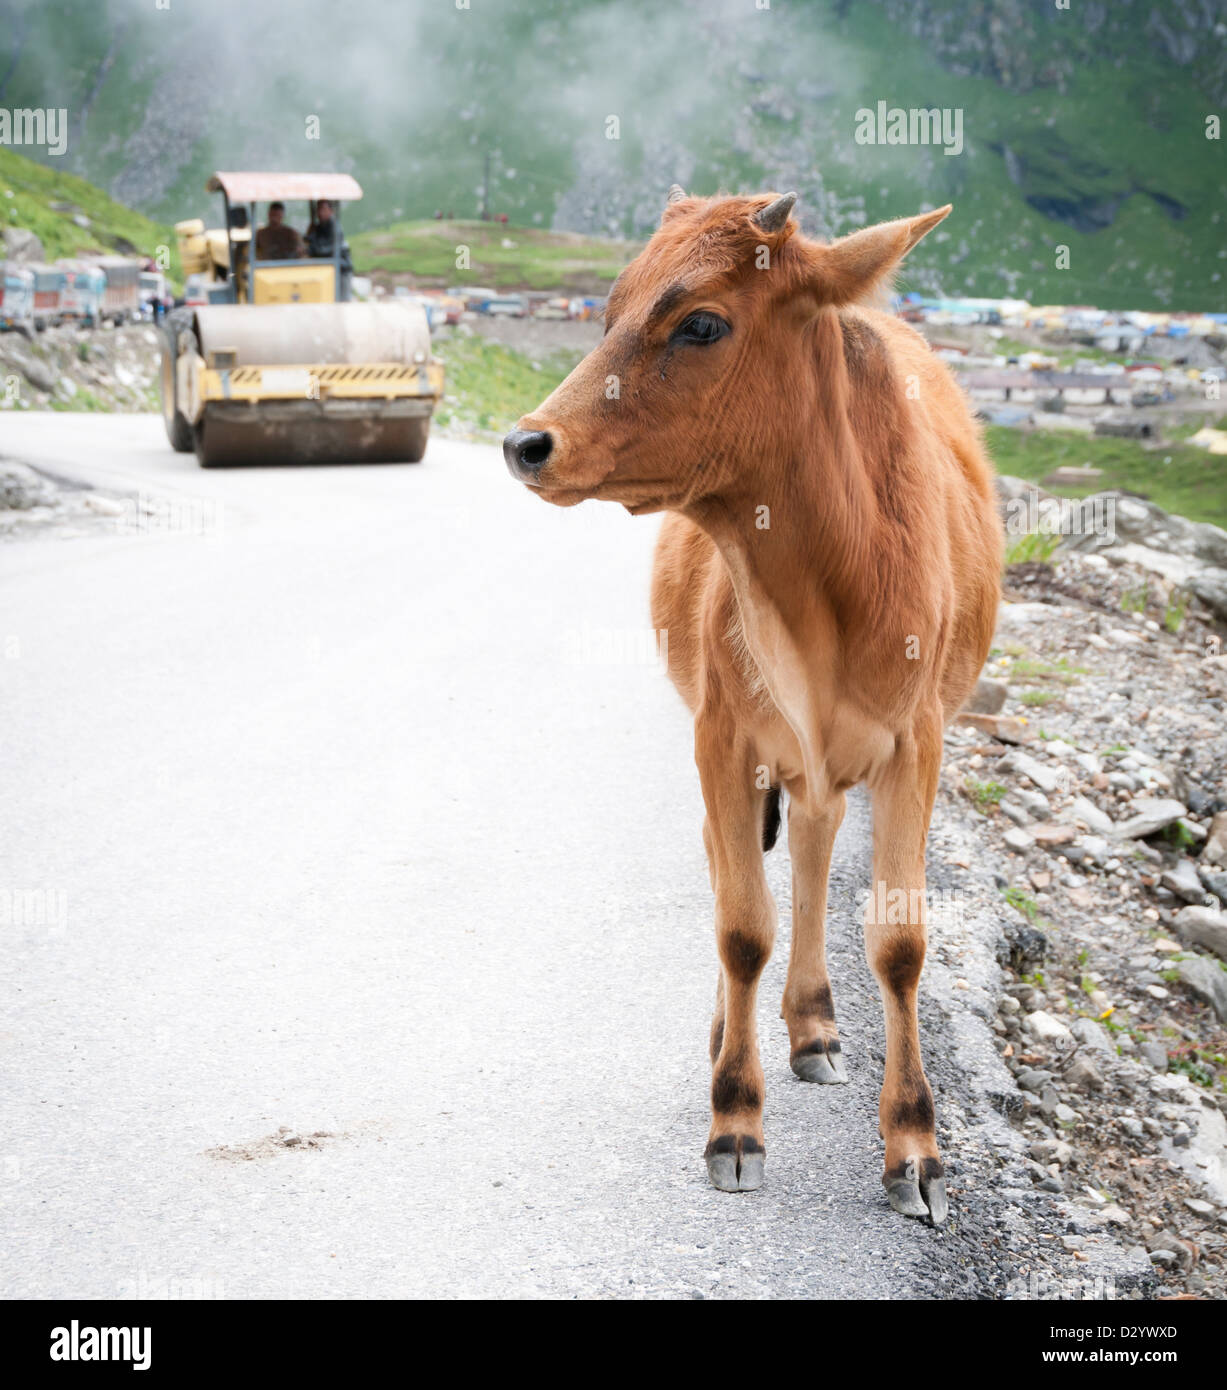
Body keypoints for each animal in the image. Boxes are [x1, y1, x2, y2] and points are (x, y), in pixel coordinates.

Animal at [503, 188, 1001, 1224]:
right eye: (608, 309)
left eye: (700, 322)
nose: (526, 443)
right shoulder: (720, 736)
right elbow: (740, 927)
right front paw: (733, 1120)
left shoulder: (918, 740)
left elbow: (898, 942)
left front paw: (915, 1147)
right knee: (746, 871)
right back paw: (731, 1033)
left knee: (812, 846)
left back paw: (812, 1024)